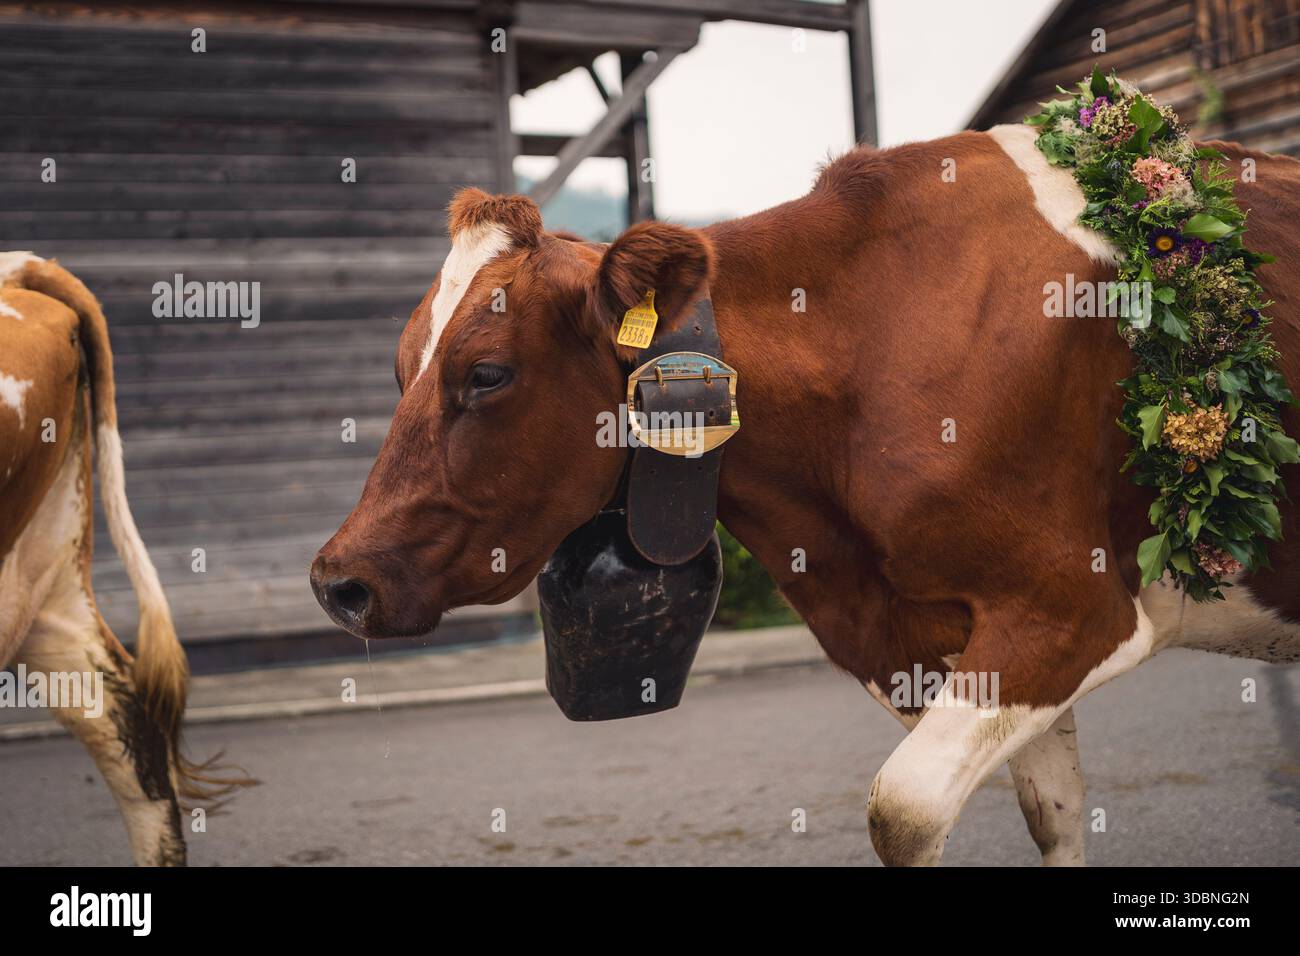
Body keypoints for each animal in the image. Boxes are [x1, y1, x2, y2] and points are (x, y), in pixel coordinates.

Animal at [311, 127, 1300, 866]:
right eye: (400, 367)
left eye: (486, 373)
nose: (337, 583)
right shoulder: (947, 643)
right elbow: (1051, 816)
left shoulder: (1073, 608)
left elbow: (901, 811)